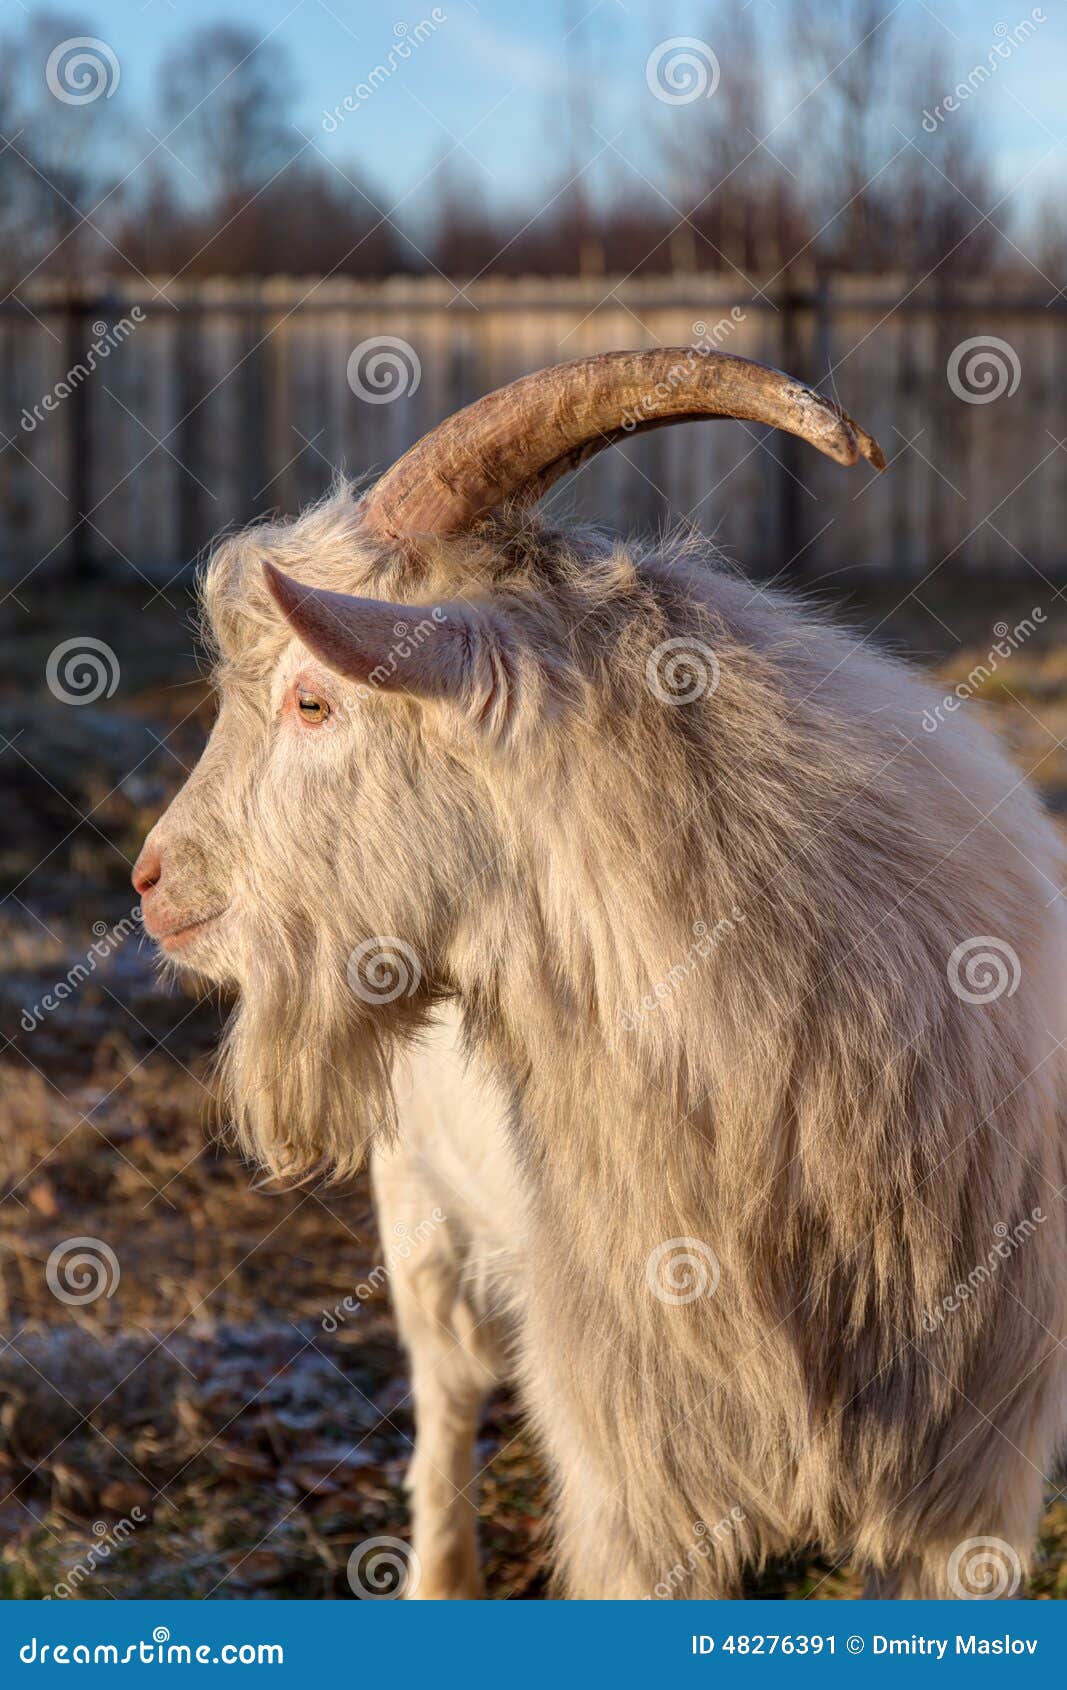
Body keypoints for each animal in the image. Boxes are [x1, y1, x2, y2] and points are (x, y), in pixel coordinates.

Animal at [134, 349, 1067, 1599]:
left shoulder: (967, 1497)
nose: (152, 880)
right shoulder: (642, 1493)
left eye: (311, 699)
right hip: (419, 1211)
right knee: (445, 1396)